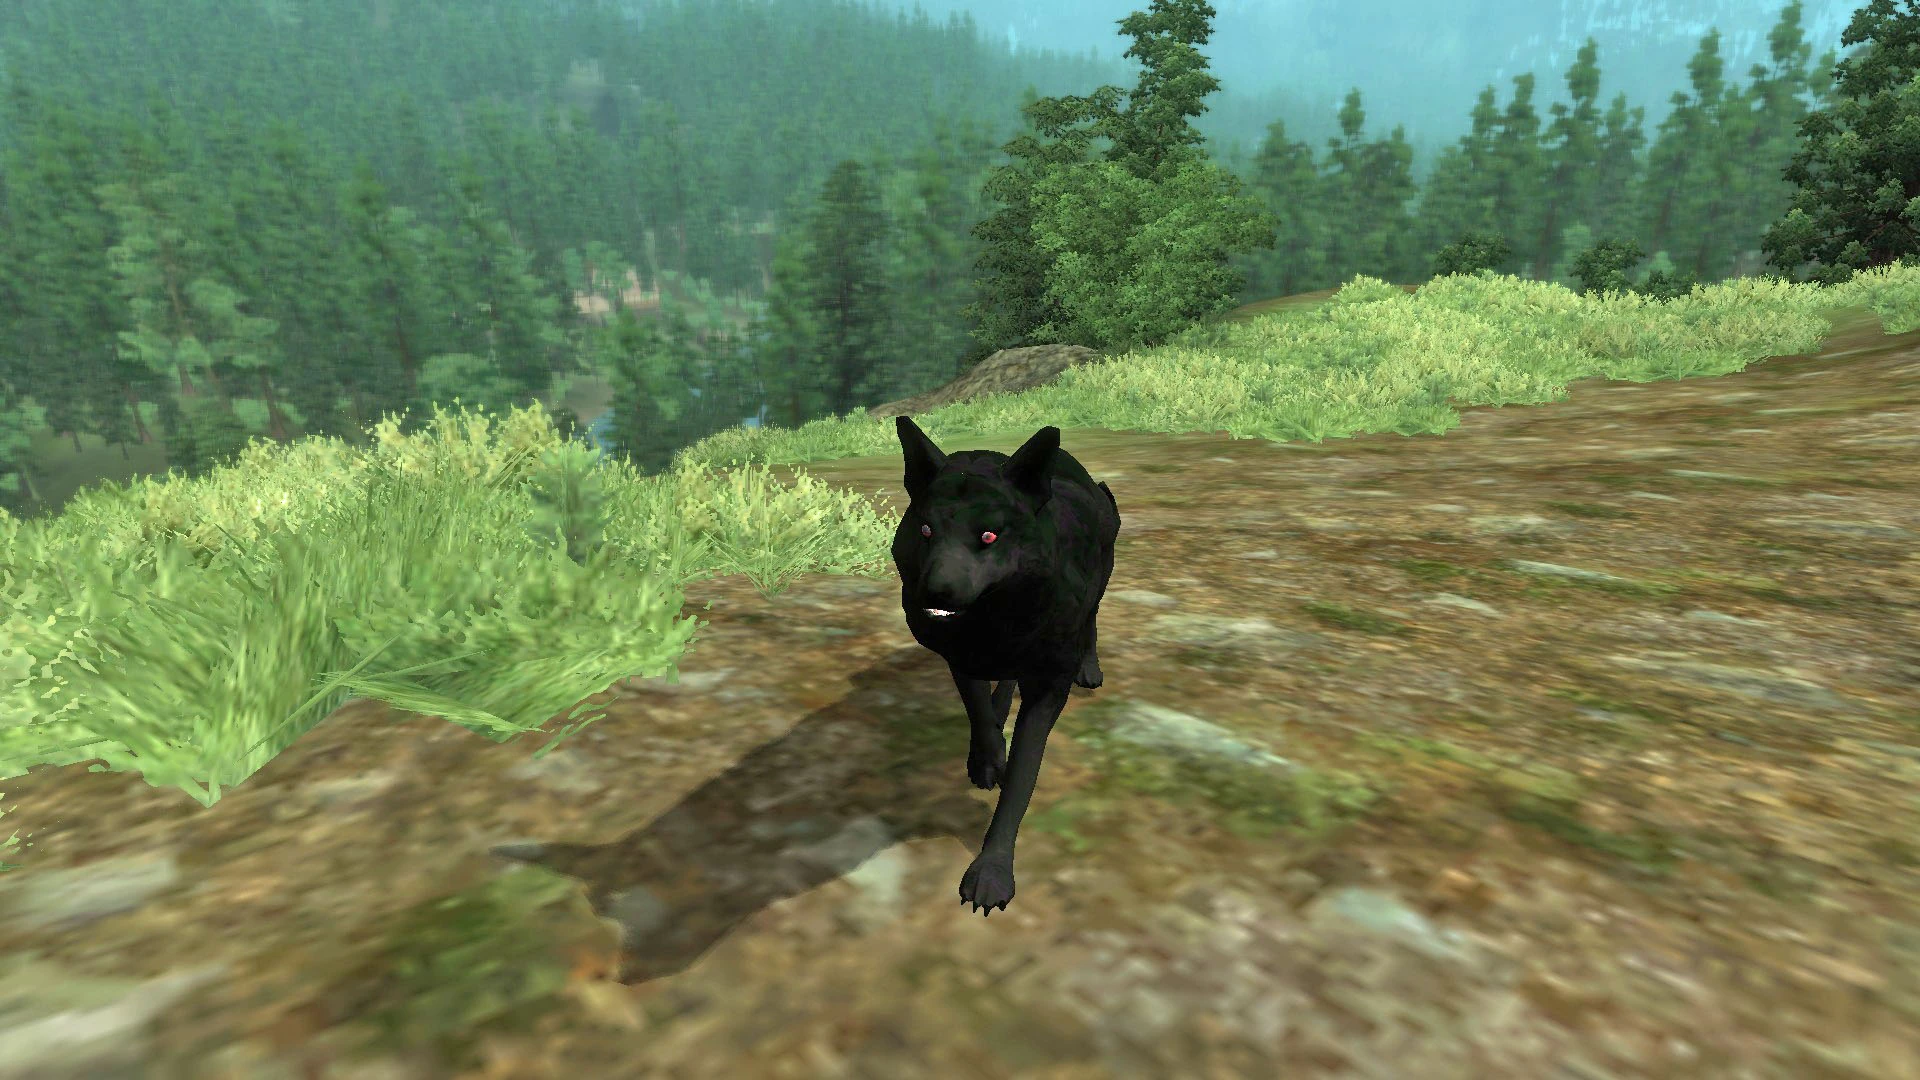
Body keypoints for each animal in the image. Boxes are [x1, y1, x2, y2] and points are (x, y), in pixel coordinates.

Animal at [890, 416, 1120, 915]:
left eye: (989, 536)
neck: (993, 620)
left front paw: (992, 869)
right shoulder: (962, 656)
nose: (933, 593)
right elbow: (978, 707)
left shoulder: (1048, 686)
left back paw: (1089, 666)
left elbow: (1022, 776)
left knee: (1092, 617)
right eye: (925, 531)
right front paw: (988, 752)